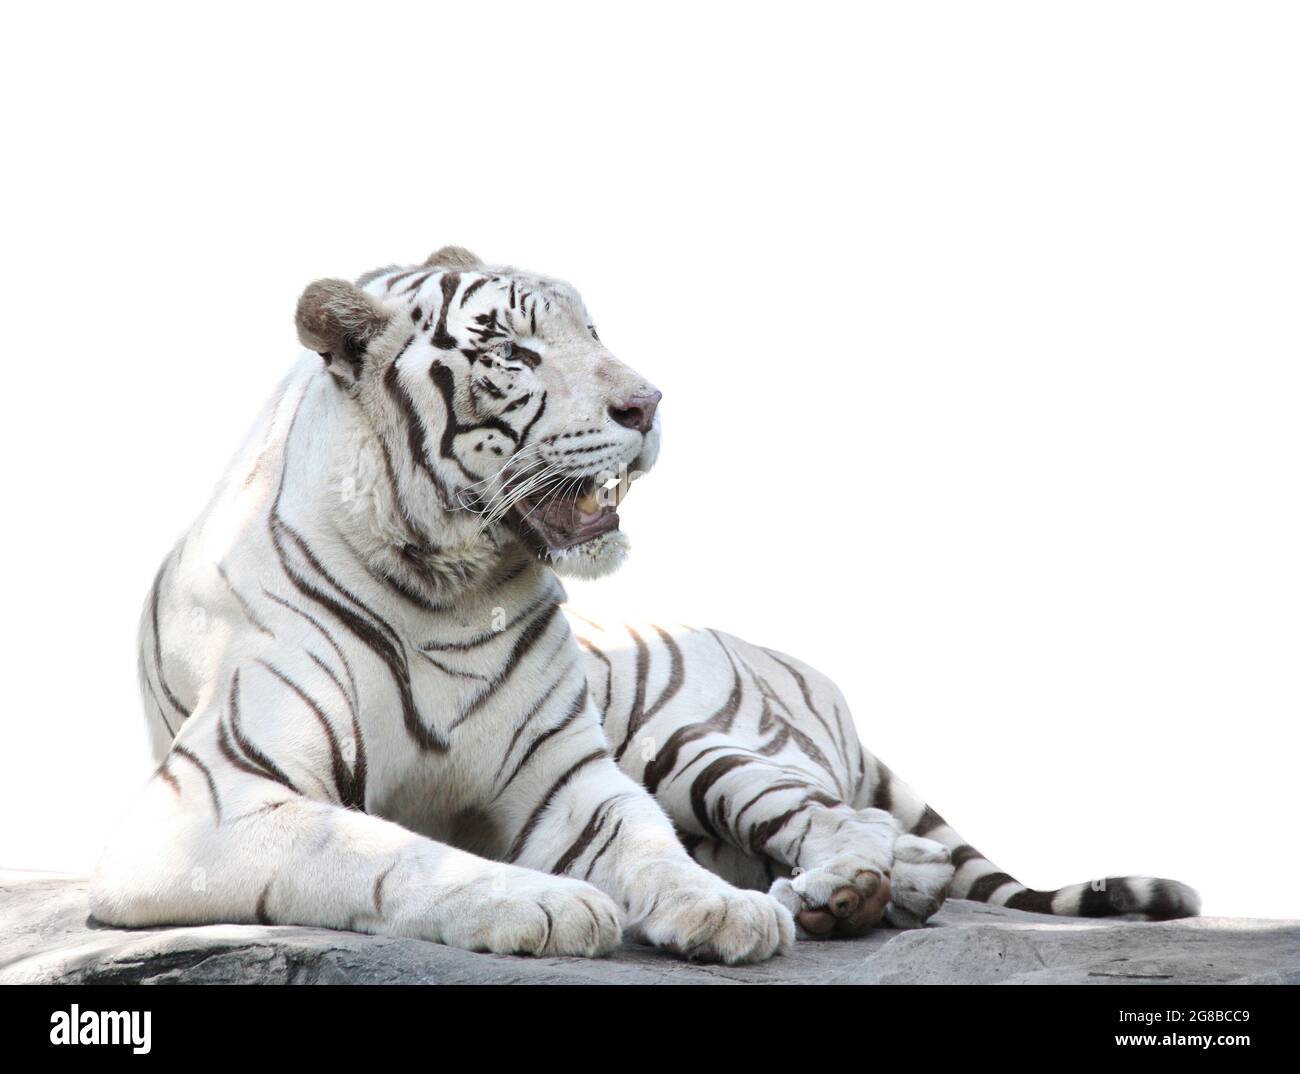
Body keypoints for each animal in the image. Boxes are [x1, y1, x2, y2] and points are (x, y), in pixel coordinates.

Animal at [90, 245, 1199, 965]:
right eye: (513, 354)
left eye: (593, 330)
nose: (649, 403)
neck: (447, 590)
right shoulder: (216, 801)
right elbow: (385, 850)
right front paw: (543, 906)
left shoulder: (569, 774)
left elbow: (643, 847)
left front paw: (719, 914)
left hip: (688, 735)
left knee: (847, 820)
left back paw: (830, 895)